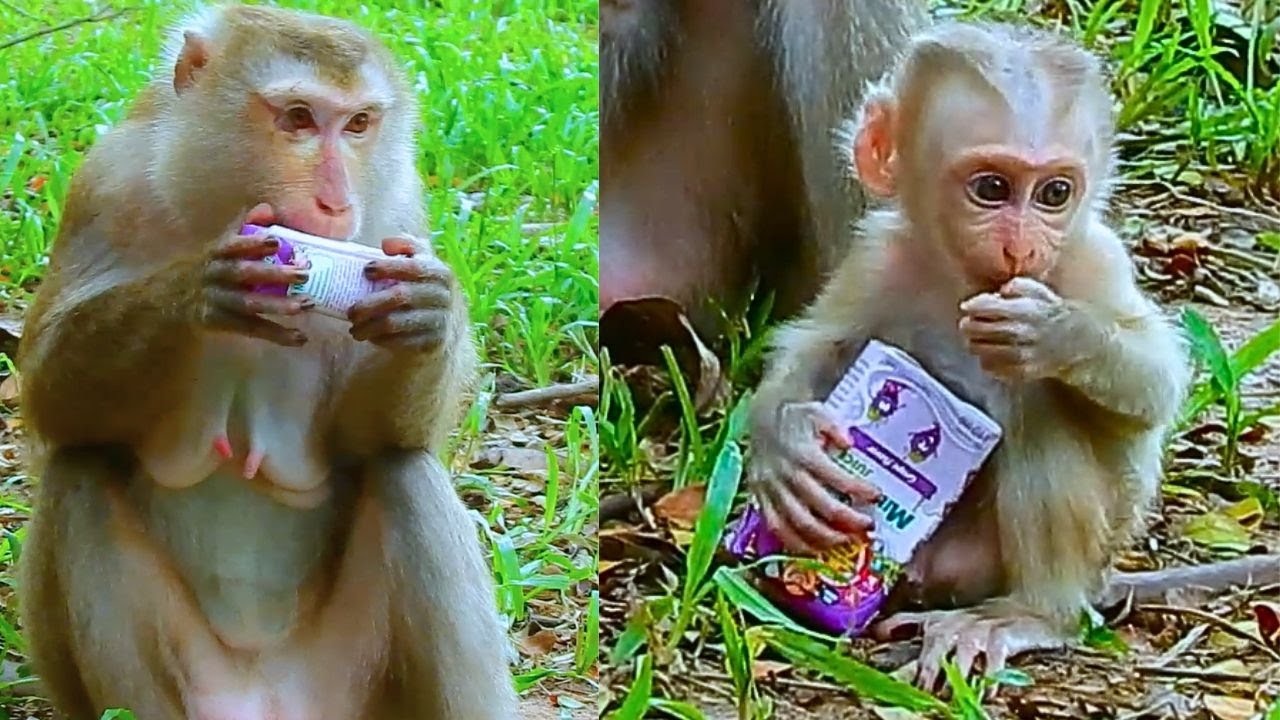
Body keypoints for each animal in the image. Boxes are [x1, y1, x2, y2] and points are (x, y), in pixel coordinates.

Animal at [16, 6, 518, 719]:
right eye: (300, 118)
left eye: (358, 124)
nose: (337, 203)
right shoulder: (106, 182)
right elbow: (51, 397)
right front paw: (198, 289)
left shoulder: (396, 210)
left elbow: (379, 440)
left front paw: (427, 312)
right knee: (78, 473)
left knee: (403, 474)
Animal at [746, 21, 1192, 690]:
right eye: (992, 189)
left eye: (1055, 193)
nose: (1023, 246)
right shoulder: (879, 253)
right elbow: (821, 344)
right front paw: (787, 443)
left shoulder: (1092, 259)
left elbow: (1156, 384)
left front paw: (1055, 334)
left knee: (1038, 409)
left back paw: (1031, 614)